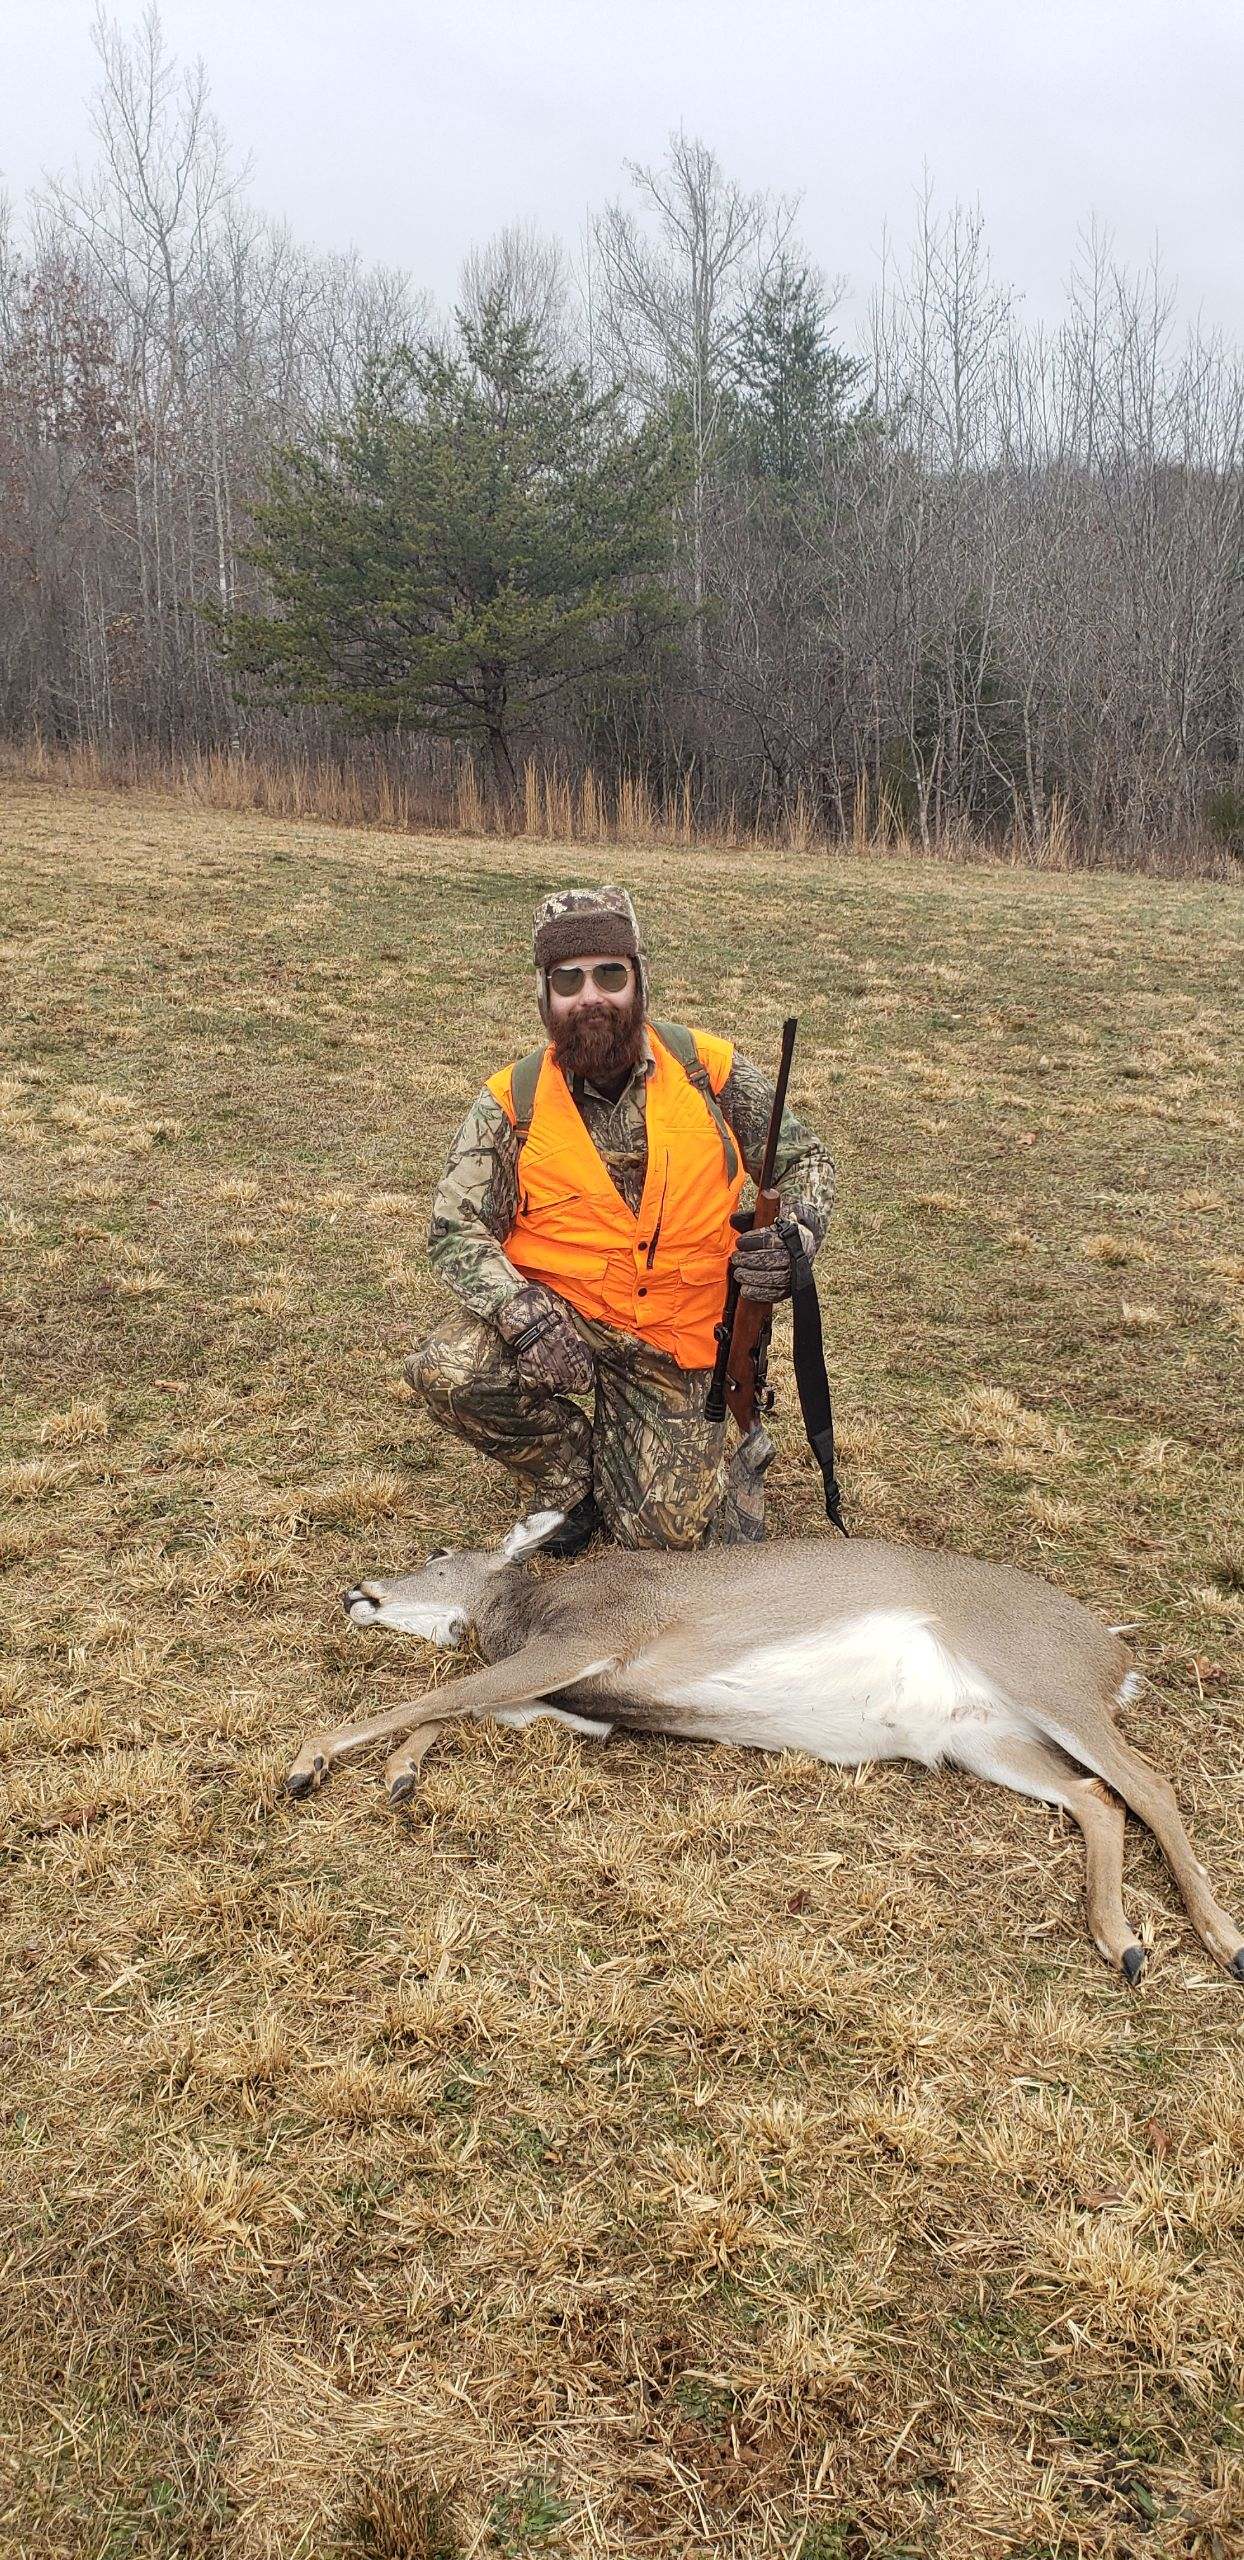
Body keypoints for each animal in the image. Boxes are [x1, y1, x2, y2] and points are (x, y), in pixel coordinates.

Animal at [286, 1511, 1244, 1984]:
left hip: (1048, 1683)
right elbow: (459, 1707)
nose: (354, 1590)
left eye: (439, 1550)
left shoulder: (594, 1636)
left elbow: (440, 1693)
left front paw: (308, 1760)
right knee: (1097, 1797)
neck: (527, 1612)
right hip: (982, 1736)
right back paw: (1123, 1942)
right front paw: (400, 1775)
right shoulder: (580, 1702)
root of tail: (1118, 1654)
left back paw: (1221, 1940)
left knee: (1151, 1783)